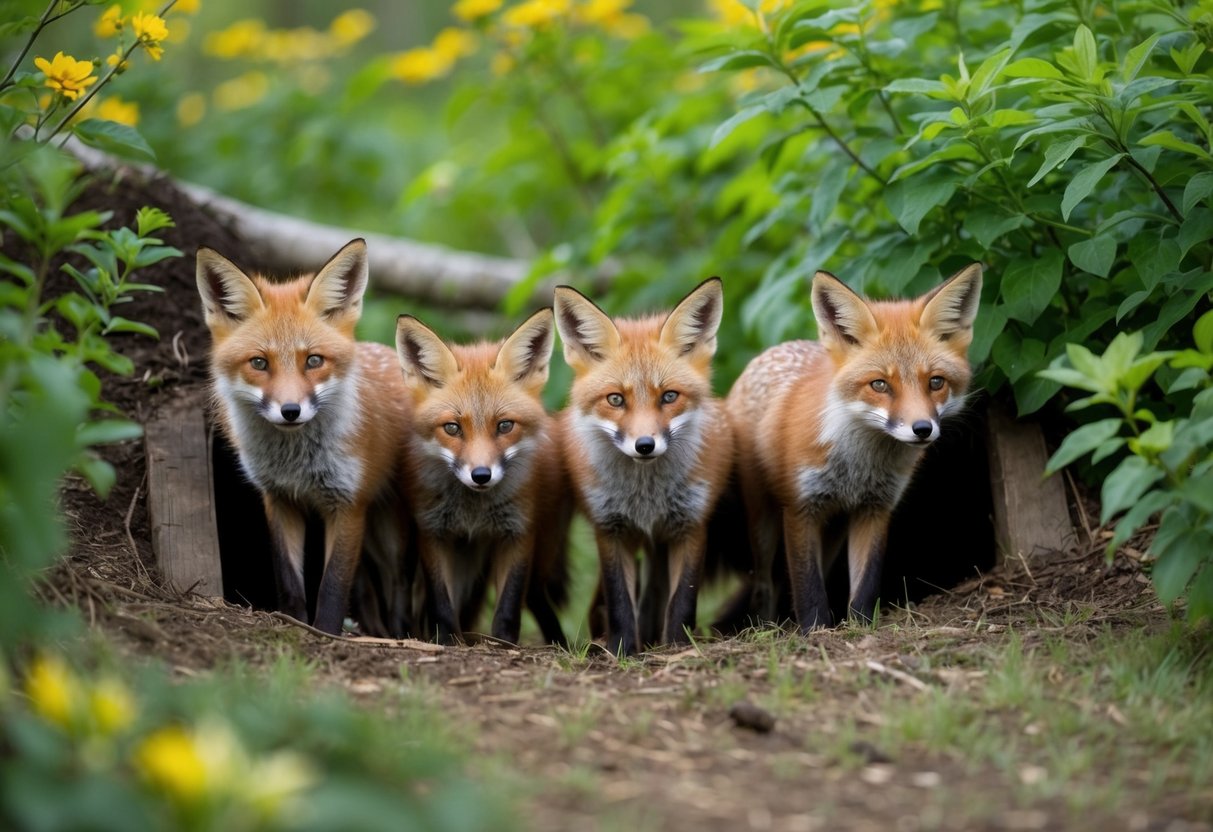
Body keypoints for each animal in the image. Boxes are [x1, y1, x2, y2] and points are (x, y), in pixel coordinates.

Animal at [196, 238, 414, 637]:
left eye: (313, 361)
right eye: (259, 363)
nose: (290, 410)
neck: (297, 465)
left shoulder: (348, 505)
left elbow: (332, 586)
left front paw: (325, 632)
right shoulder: (278, 500)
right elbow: (289, 580)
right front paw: (295, 625)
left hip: (394, 532)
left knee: (400, 586)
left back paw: (402, 634)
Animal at [394, 308, 571, 646]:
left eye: (504, 426)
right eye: (452, 428)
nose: (481, 475)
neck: (473, 512)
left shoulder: (519, 530)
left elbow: (509, 605)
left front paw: (504, 644)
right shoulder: (432, 530)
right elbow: (441, 602)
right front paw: (448, 640)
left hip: (543, 549)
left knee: (536, 596)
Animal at [554, 278, 734, 656]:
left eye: (669, 396)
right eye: (615, 399)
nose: (645, 445)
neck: (647, 497)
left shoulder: (691, 525)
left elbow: (683, 599)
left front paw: (677, 646)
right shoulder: (609, 528)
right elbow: (620, 599)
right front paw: (623, 648)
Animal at [727, 264, 983, 631]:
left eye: (936, 382)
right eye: (880, 384)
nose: (922, 429)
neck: (858, 466)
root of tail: (769, 351)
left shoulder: (875, 509)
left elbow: (865, 584)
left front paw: (860, 626)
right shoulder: (800, 508)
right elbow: (808, 586)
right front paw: (815, 630)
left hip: (833, 529)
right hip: (763, 522)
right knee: (764, 583)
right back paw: (766, 624)